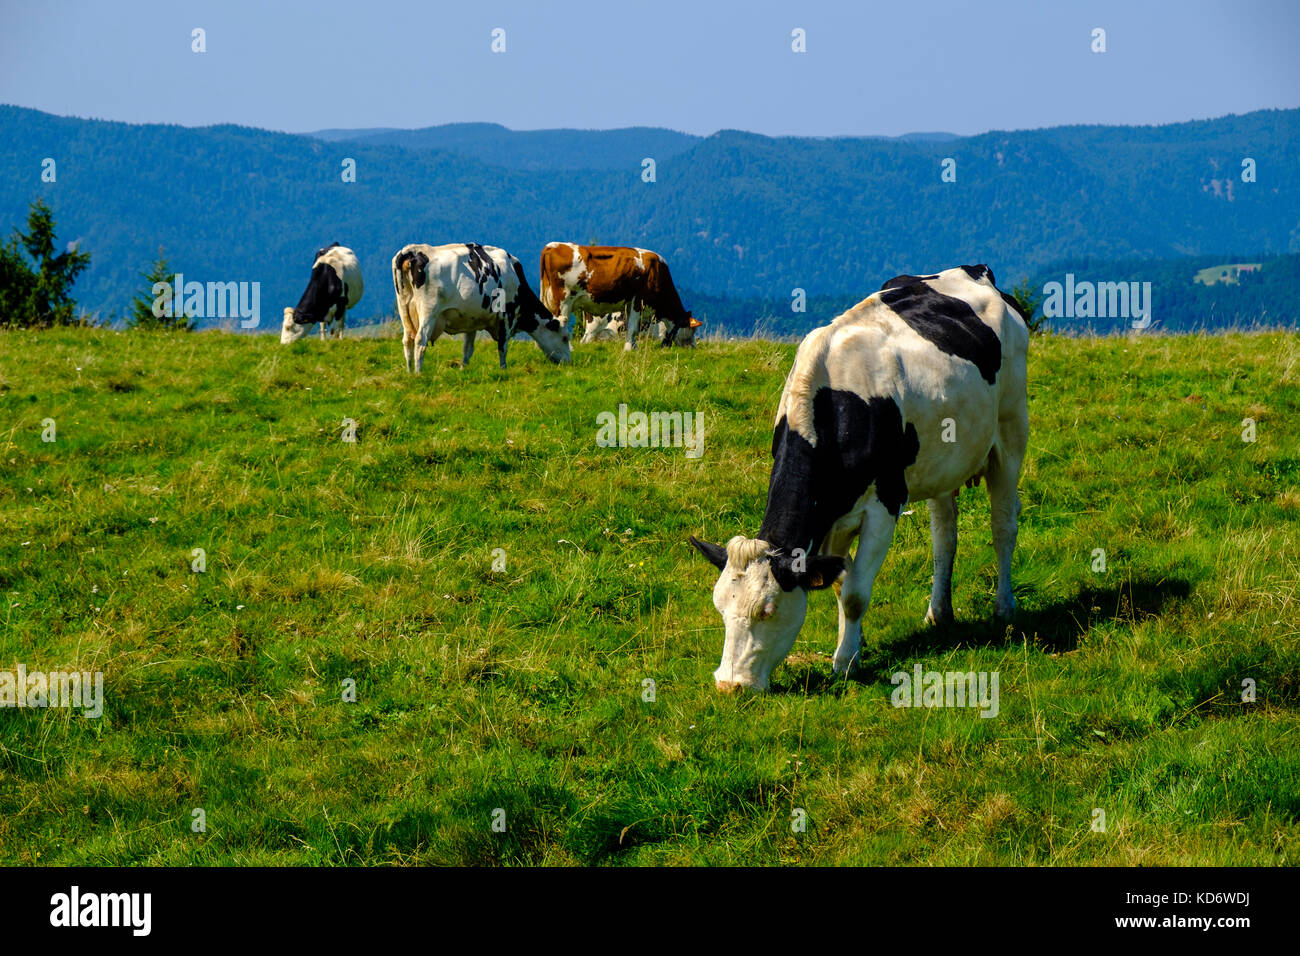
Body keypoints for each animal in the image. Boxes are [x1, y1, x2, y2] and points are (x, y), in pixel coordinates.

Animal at [391, 242, 571, 371]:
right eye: (565, 338)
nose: (568, 362)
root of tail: (413, 250)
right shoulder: (507, 315)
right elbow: (503, 347)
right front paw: (503, 370)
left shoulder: (471, 320)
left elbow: (468, 349)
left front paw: (463, 369)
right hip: (429, 311)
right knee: (420, 341)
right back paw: (419, 373)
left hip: (404, 309)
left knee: (407, 341)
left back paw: (409, 373)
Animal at [539, 242, 699, 349]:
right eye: (691, 330)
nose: (693, 348)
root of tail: (553, 245)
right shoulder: (638, 300)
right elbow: (633, 327)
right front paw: (629, 349)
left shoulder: (629, 304)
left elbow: (631, 328)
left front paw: (632, 347)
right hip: (564, 301)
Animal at [689, 264, 1029, 692]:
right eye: (719, 607)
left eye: (767, 609)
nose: (730, 685)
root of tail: (974, 270)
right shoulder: (833, 515)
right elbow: (840, 581)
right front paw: (854, 642)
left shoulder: (884, 504)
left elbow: (855, 594)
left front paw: (845, 662)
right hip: (943, 461)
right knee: (944, 537)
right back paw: (938, 612)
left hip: (1011, 433)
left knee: (1003, 527)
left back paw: (1004, 607)